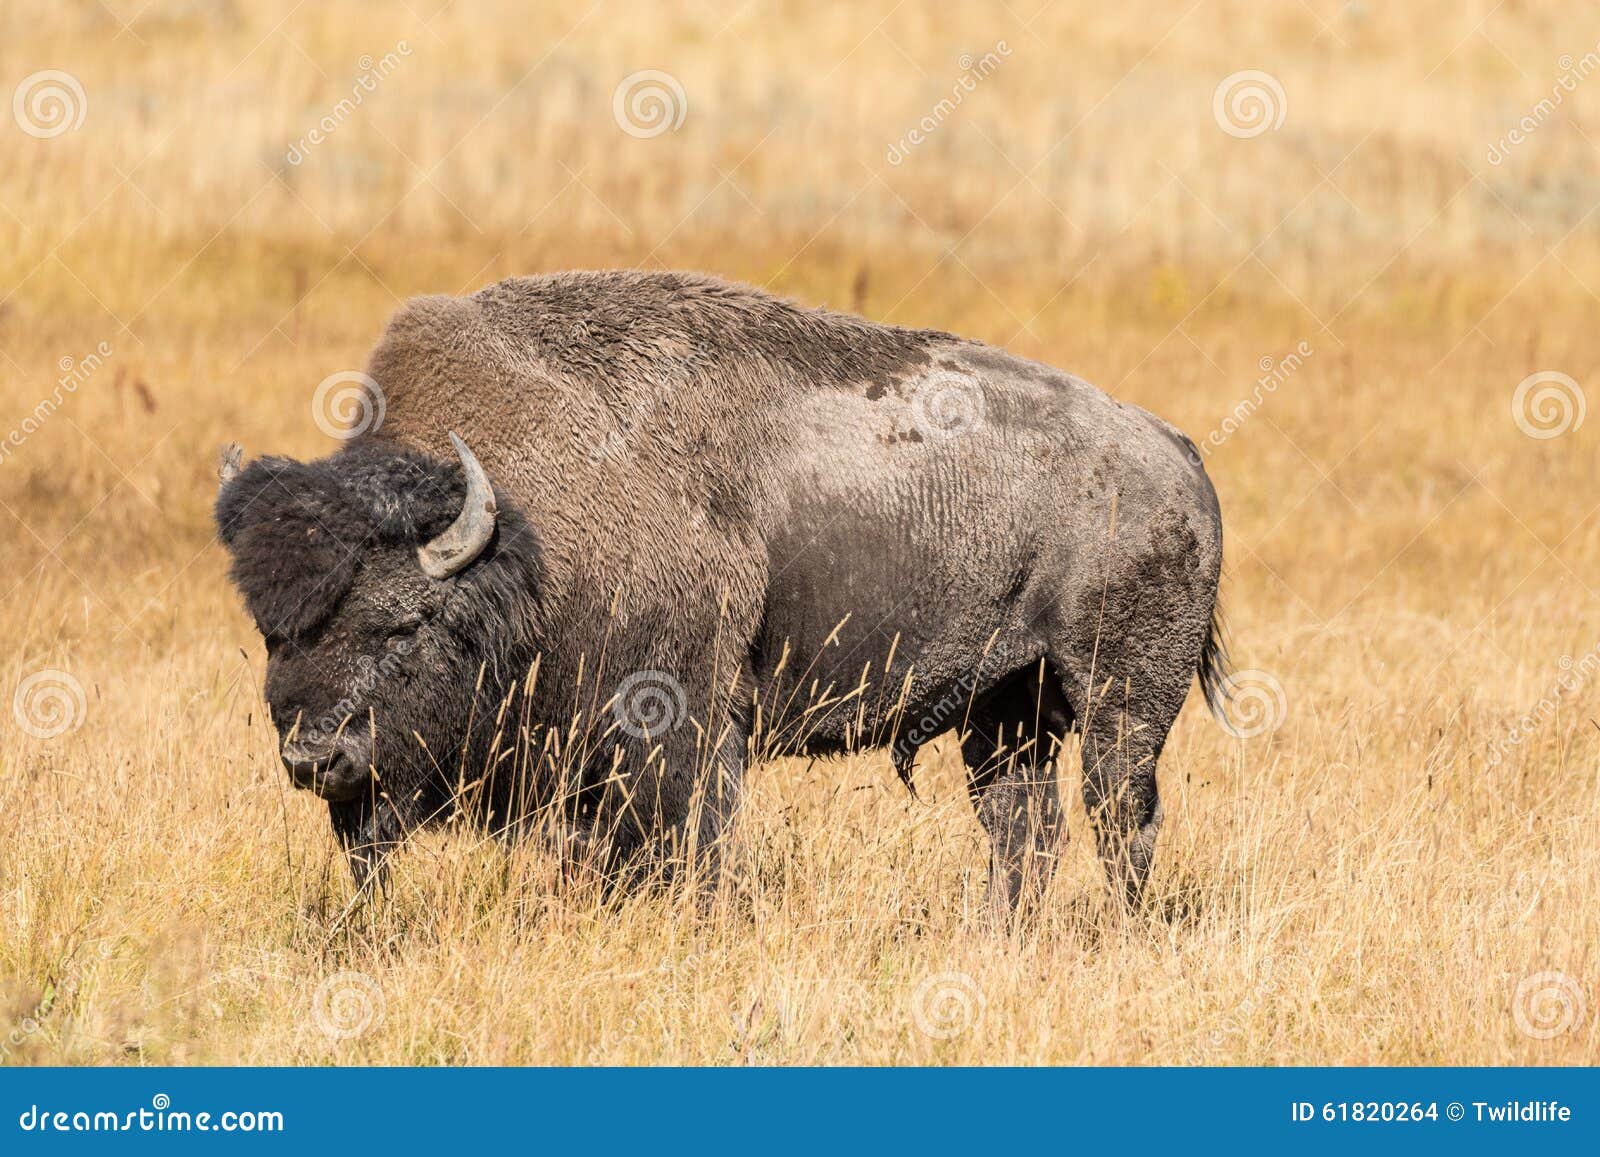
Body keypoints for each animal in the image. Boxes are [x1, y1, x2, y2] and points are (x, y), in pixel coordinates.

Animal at [216, 270, 1226, 917]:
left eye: (403, 626)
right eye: (273, 633)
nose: (314, 757)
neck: (521, 536)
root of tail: (1172, 447)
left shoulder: (682, 722)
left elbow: (691, 843)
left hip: (1118, 698)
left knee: (1119, 815)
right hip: (1003, 710)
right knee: (1025, 829)